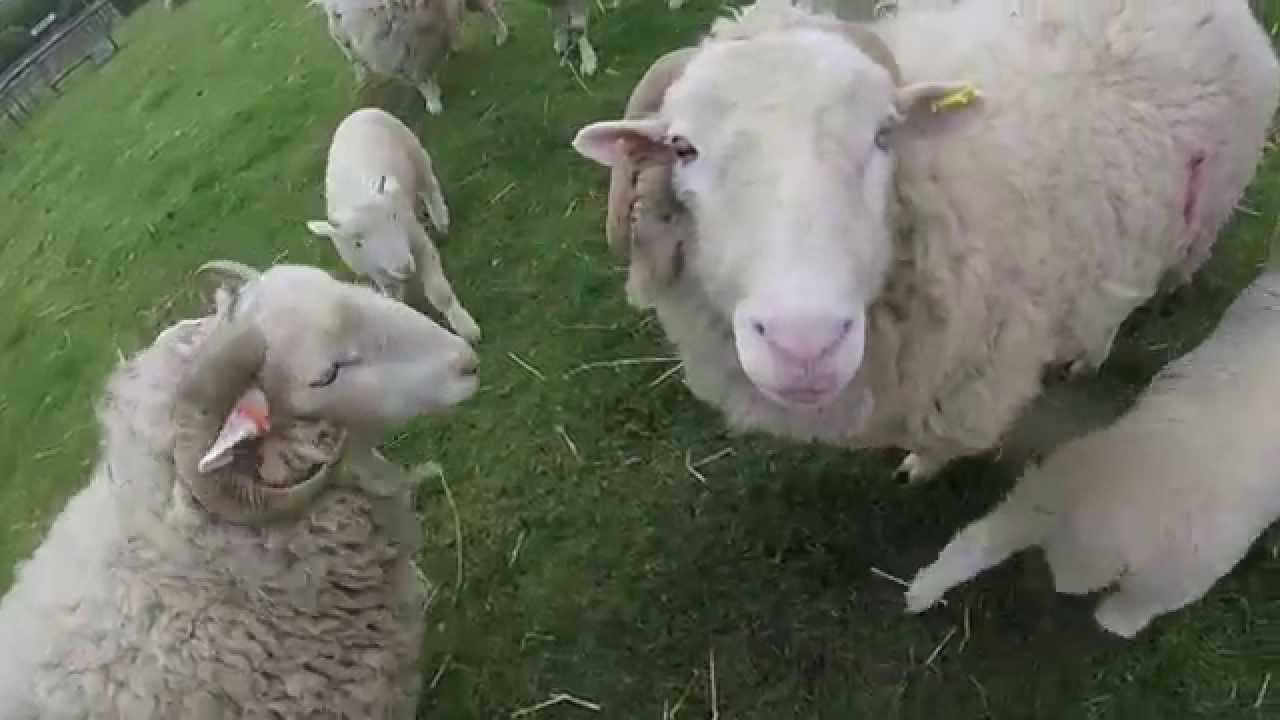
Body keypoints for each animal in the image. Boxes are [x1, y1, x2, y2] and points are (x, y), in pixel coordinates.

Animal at [307, 106, 482, 342]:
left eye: (394, 217)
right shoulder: (376, 271)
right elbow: (392, 297)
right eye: (357, 242)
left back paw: (441, 219)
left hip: (415, 152)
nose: (404, 266)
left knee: (429, 186)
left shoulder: (418, 241)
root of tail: (358, 112)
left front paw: (467, 329)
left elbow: (440, 293)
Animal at [310, 0, 508, 115]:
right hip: (346, 41)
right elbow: (422, 78)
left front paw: (501, 35)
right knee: (356, 61)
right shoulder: (404, 50)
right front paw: (433, 101)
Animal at [571, 0, 1280, 484]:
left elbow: (943, 440)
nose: (806, 346)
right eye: (682, 147)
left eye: (884, 132)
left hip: (1205, 204)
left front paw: (921, 463)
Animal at [903, 242, 1280, 638]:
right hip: (1171, 578)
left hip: (1043, 498)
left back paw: (921, 592)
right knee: (1126, 614)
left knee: (978, 540)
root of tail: (1106, 535)